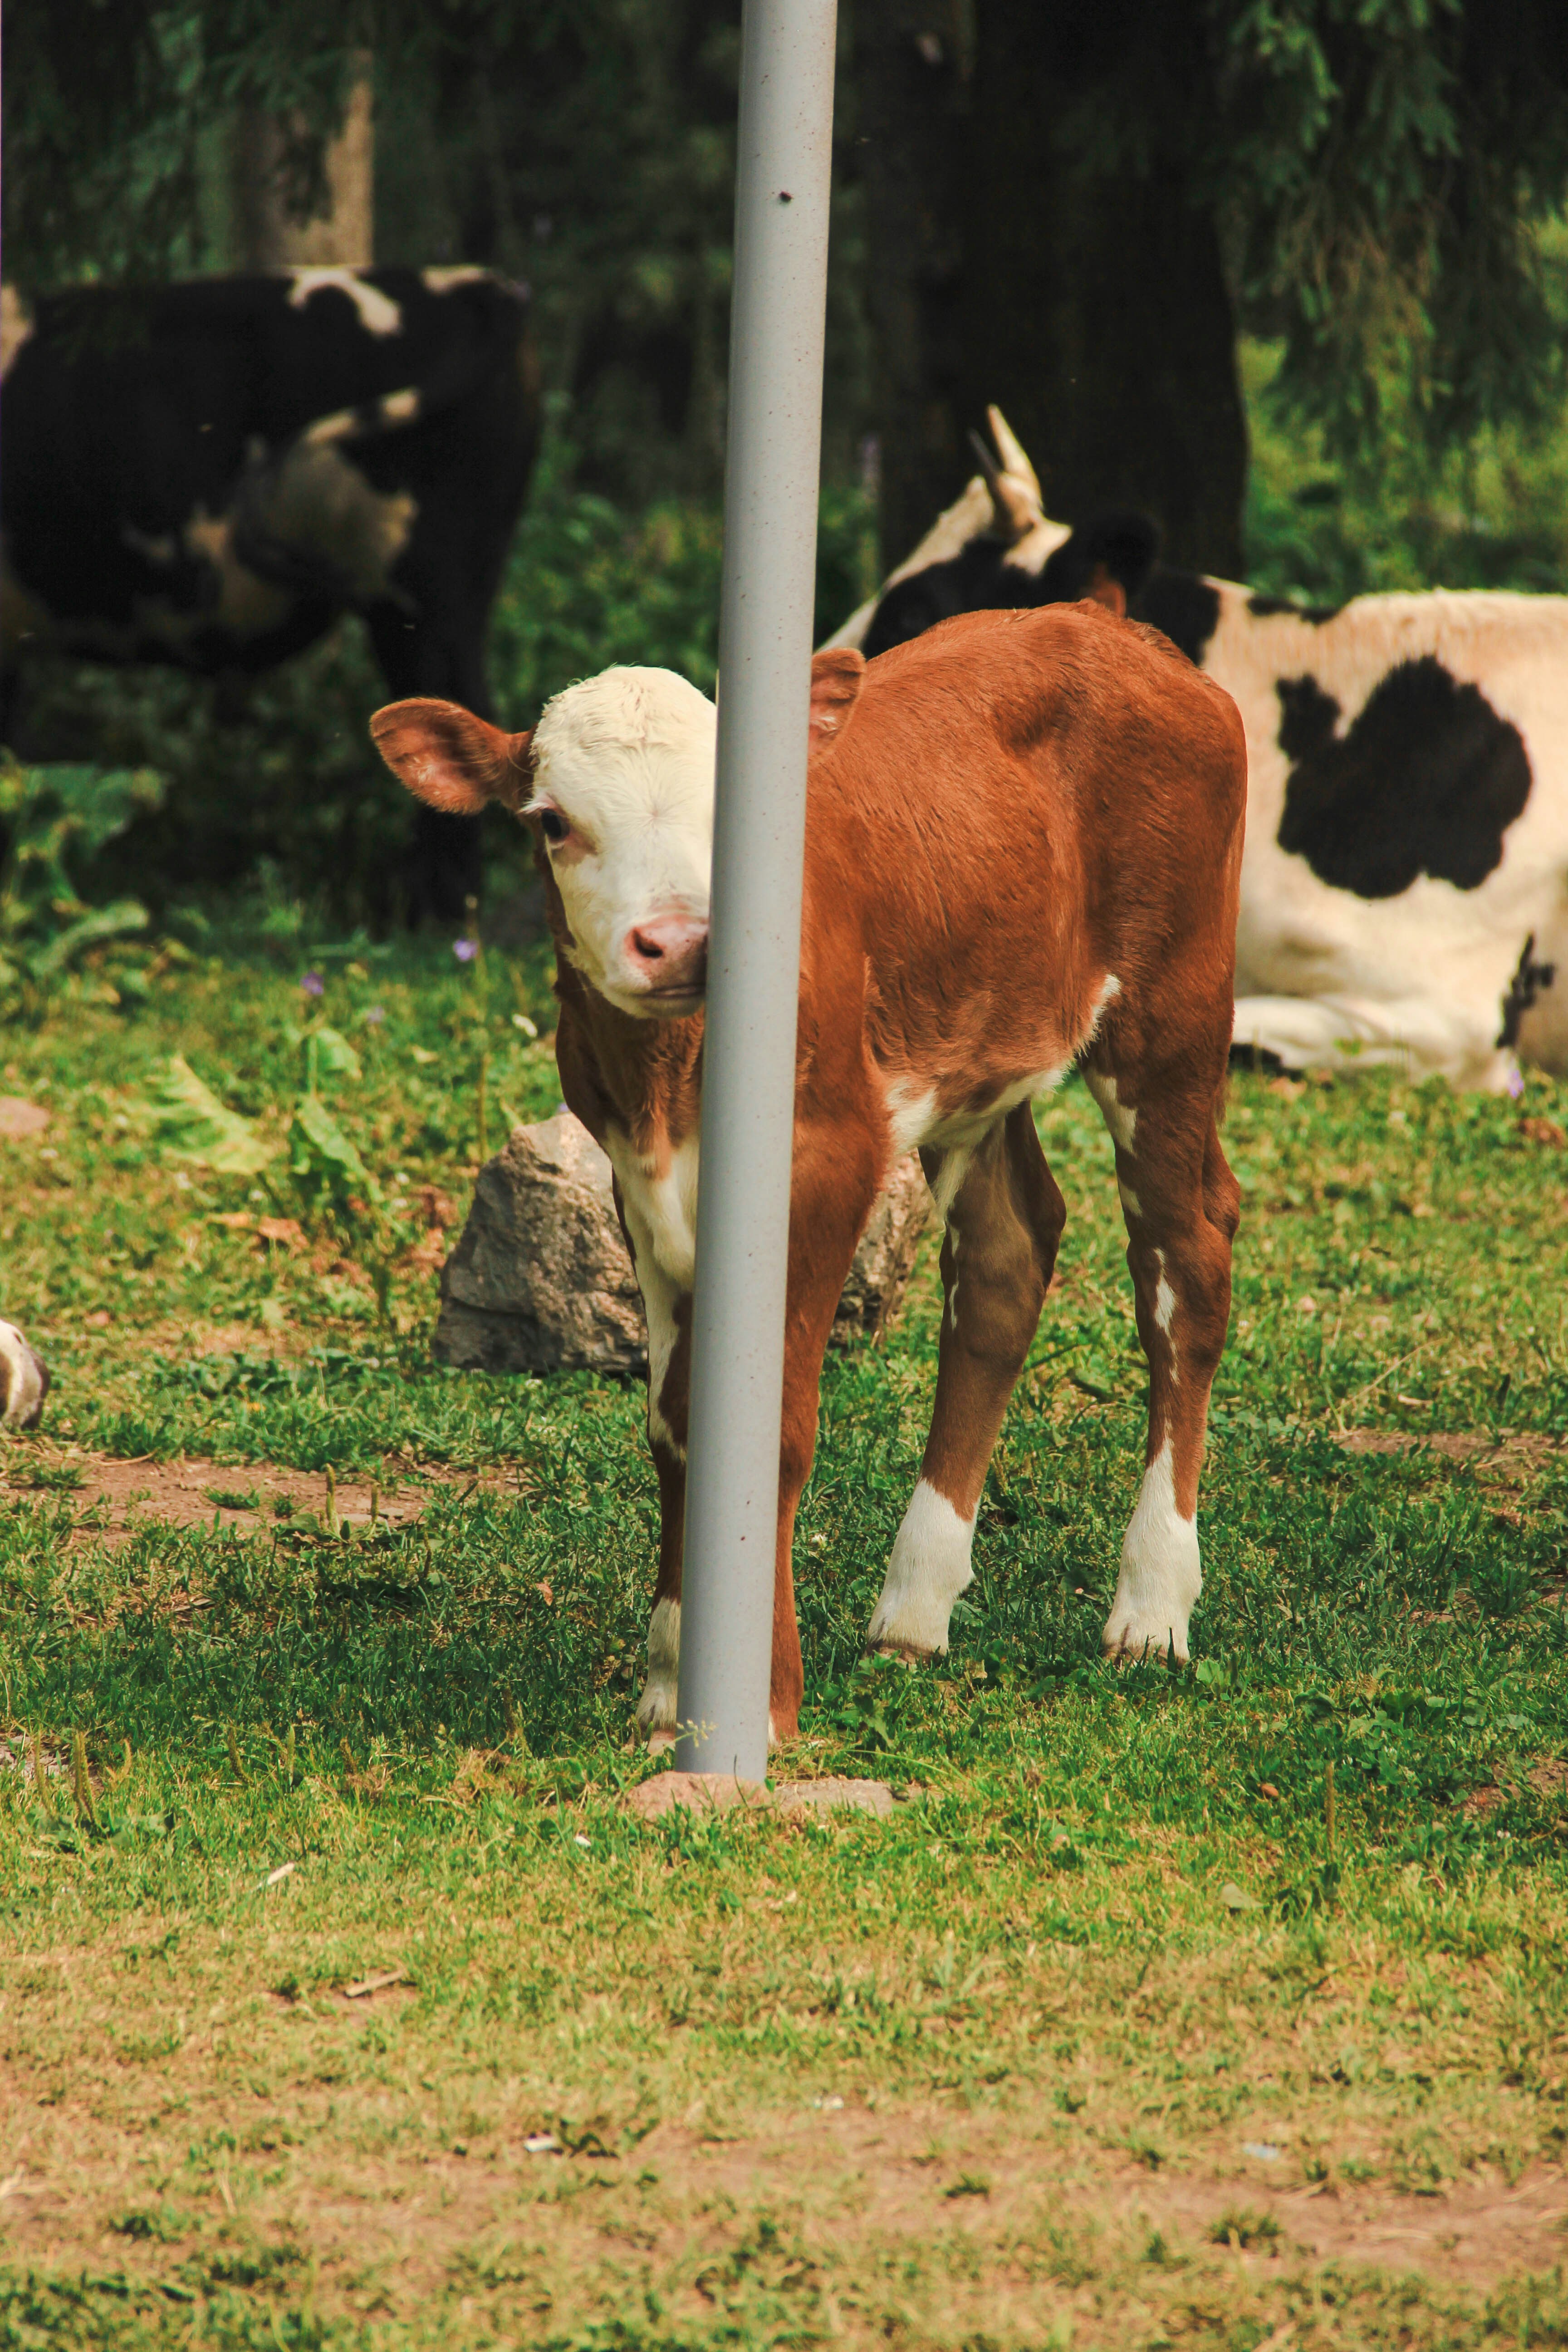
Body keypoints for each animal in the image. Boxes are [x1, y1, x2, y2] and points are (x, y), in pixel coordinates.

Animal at [369, 609, 1246, 1738]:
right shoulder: (636, 1181)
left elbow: (773, 1423)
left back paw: (1150, 1608)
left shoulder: (830, 1154)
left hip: (1174, 1003)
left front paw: (761, 1706)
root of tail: (1110, 628)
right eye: (552, 822)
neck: (673, 1078)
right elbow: (679, 1426)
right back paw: (915, 1610)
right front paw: (671, 1686)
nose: (678, 941)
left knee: (1187, 1259)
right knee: (1009, 1252)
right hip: (974, 1044)